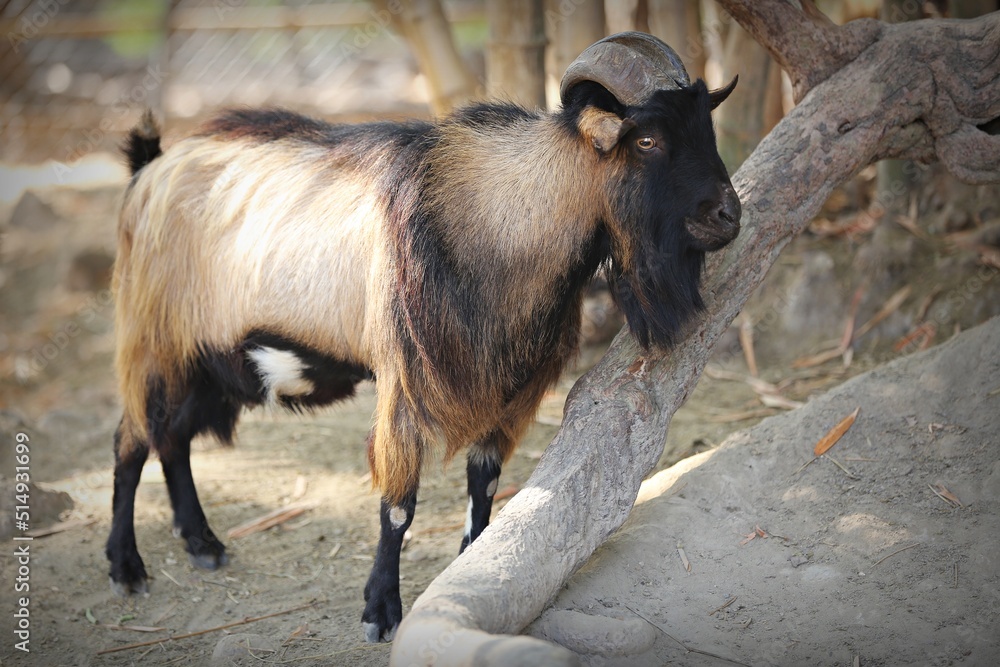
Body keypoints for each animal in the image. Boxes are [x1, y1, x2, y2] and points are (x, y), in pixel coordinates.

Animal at [106, 32, 741, 643]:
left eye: (705, 126)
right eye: (647, 140)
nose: (728, 215)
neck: (500, 221)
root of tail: (149, 168)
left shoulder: (508, 387)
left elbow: (484, 483)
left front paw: (472, 563)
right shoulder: (406, 383)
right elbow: (398, 508)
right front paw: (380, 611)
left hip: (207, 360)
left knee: (173, 436)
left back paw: (202, 543)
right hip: (152, 337)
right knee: (132, 439)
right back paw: (126, 567)